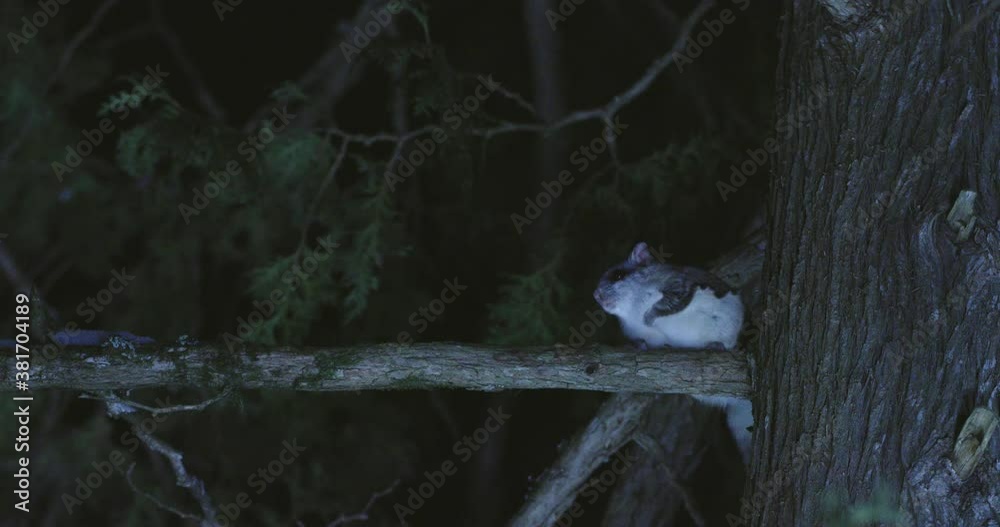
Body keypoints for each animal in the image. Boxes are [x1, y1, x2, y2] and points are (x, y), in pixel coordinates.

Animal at [594, 241, 752, 463]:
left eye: (618, 275)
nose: (596, 296)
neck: (633, 310)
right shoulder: (646, 334)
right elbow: (649, 341)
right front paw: (639, 345)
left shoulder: (678, 285)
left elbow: (668, 303)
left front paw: (649, 316)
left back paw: (716, 345)